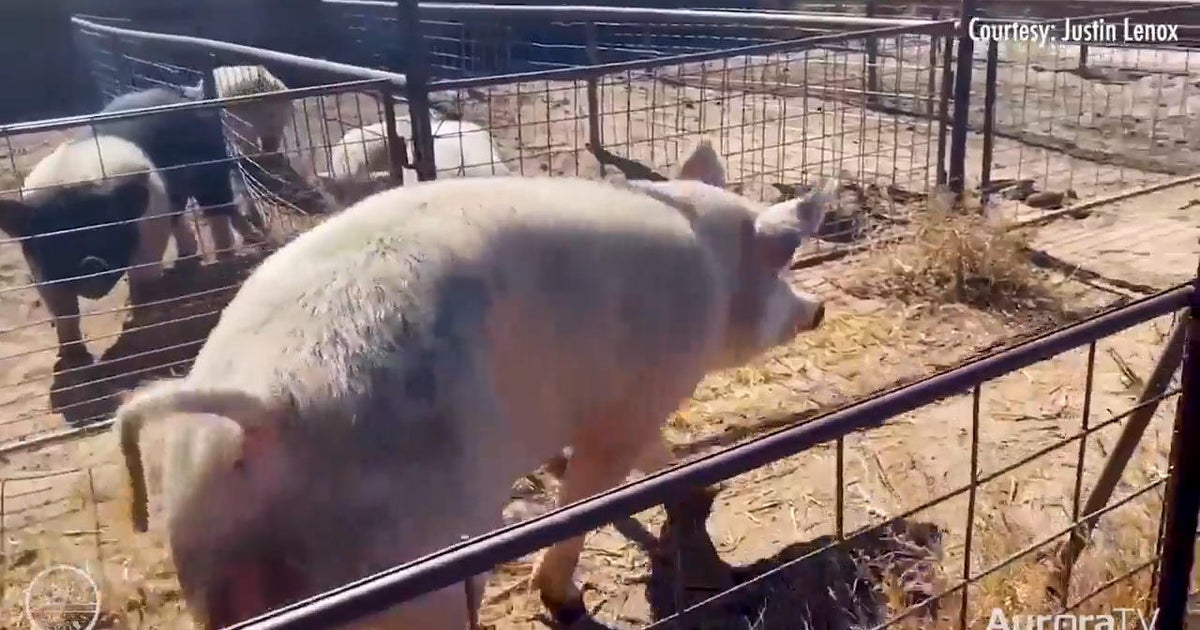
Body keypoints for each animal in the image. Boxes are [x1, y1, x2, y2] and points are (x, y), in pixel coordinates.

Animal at [113, 139, 836, 628]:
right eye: (781, 265)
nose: (819, 309)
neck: (712, 274)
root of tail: (264, 410)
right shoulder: (632, 399)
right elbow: (591, 494)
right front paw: (566, 597)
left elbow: (653, 454)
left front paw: (698, 488)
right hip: (406, 560)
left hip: (206, 547)